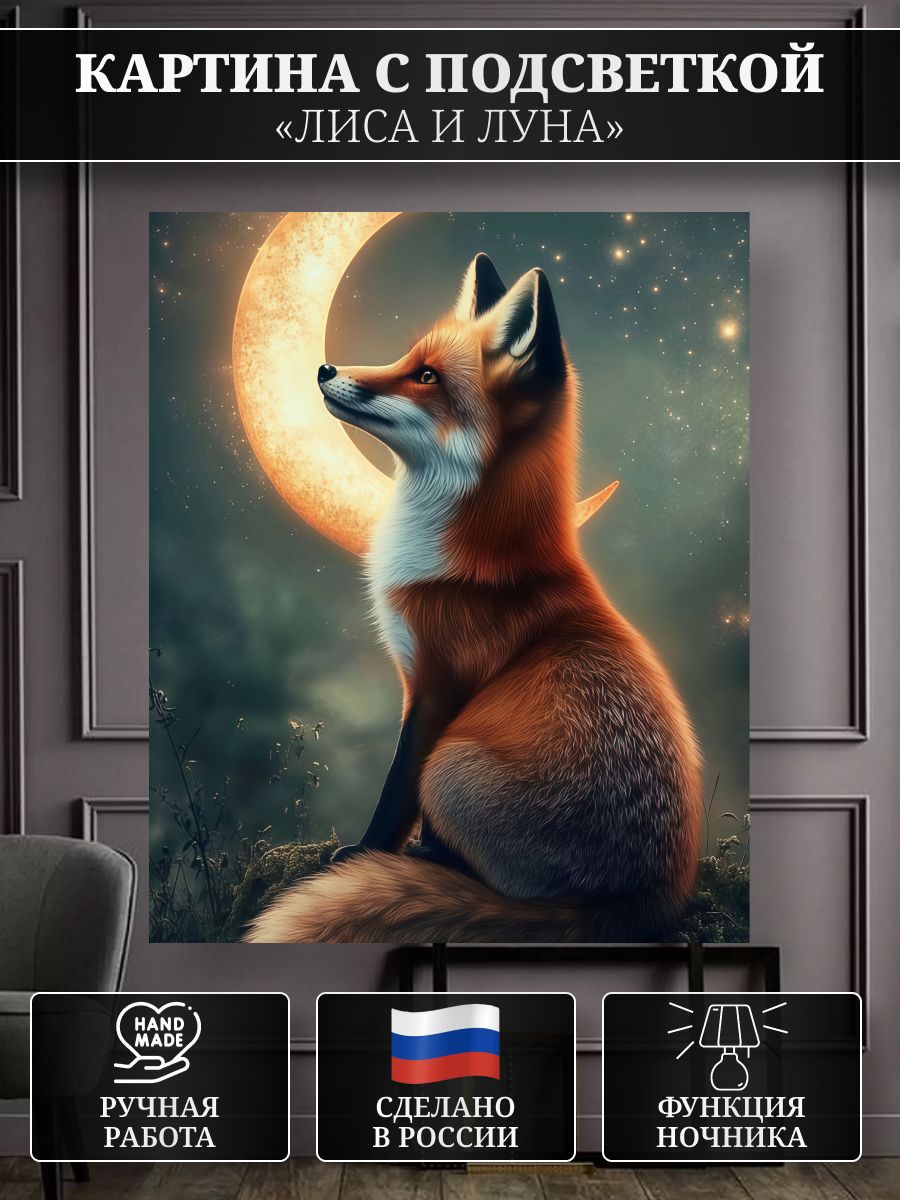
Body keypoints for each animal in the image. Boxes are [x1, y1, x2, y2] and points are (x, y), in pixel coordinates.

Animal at [245, 252, 703, 944]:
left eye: (427, 377)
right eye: (409, 357)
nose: (325, 369)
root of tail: (634, 907)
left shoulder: (438, 684)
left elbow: (396, 788)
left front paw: (363, 853)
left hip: (452, 763)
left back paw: (432, 858)